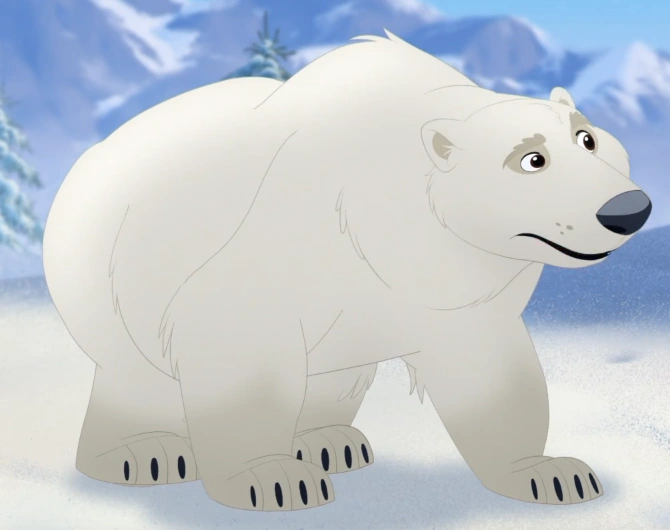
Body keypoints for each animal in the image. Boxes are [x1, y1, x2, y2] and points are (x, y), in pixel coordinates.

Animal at [43, 30, 652, 511]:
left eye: (588, 137)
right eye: (531, 158)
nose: (628, 208)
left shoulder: (454, 289)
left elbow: (489, 373)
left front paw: (553, 473)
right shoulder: (277, 249)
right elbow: (244, 356)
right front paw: (270, 479)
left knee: (331, 376)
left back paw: (328, 441)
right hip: (108, 288)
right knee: (134, 378)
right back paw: (145, 453)